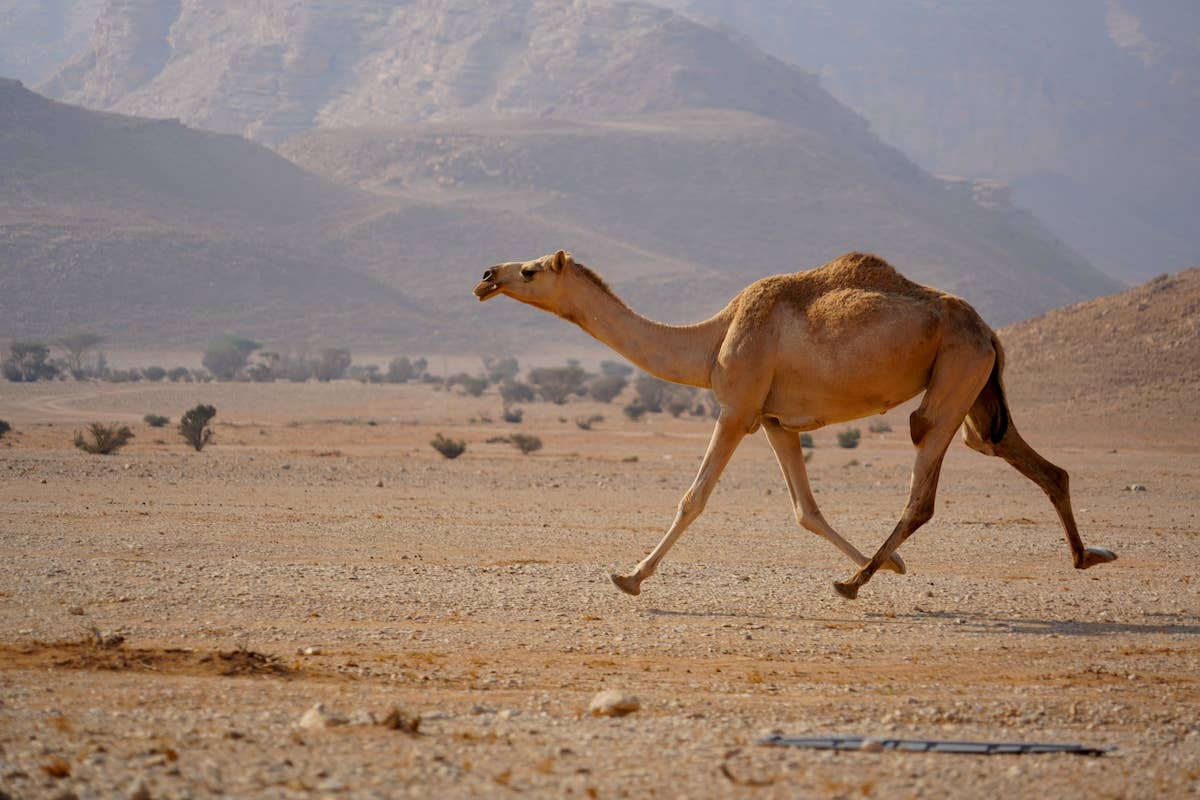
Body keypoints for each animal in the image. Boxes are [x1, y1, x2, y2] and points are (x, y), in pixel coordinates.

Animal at [473, 250, 1116, 599]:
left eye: (529, 271)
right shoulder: (776, 421)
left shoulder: (736, 409)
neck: (712, 341)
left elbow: (693, 498)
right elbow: (806, 510)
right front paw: (895, 565)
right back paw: (1088, 556)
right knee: (1025, 457)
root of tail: (989, 330)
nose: (485, 276)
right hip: (979, 391)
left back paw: (854, 583)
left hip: (952, 379)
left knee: (924, 485)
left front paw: (631, 578)